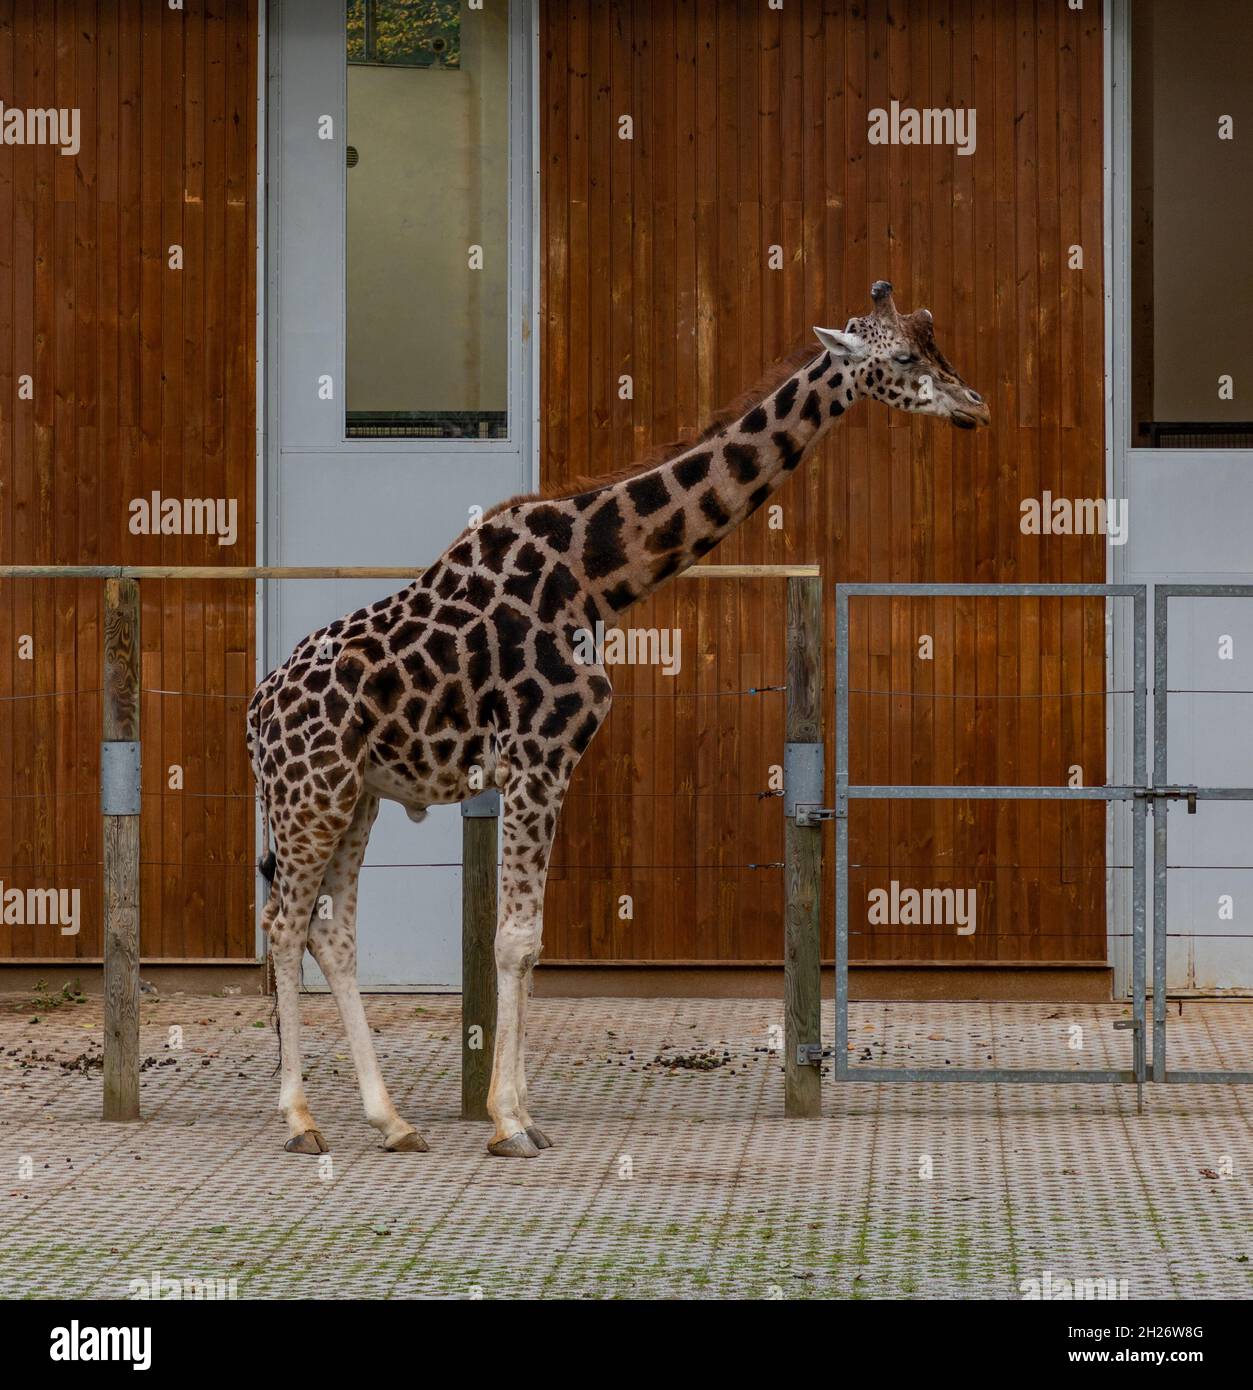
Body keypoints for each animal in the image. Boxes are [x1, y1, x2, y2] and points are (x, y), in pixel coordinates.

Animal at [247, 282, 989, 1158]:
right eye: (903, 356)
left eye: (936, 344)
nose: (975, 404)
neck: (592, 578)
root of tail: (255, 714)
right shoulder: (537, 756)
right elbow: (515, 938)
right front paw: (507, 1123)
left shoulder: (546, 764)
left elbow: (528, 941)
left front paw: (522, 1113)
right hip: (310, 795)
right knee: (283, 922)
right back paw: (300, 1119)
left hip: (355, 796)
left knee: (330, 931)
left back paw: (390, 1121)